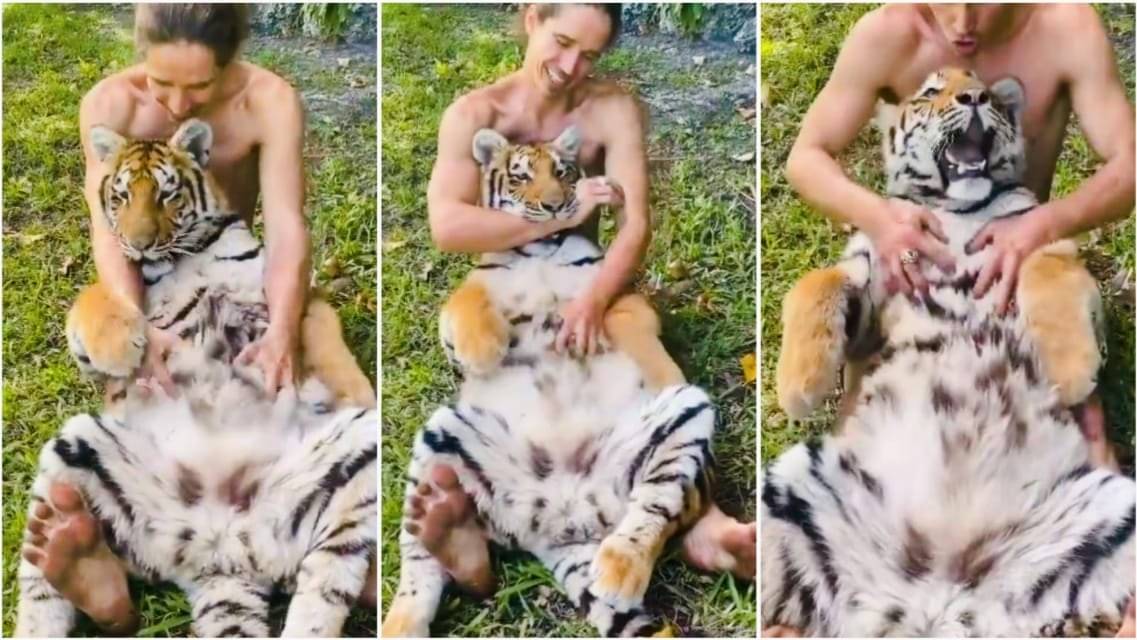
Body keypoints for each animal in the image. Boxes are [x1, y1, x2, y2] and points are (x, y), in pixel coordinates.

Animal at [16, 119, 377, 637]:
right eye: (121, 196)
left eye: (166, 194)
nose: (139, 244)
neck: (182, 256)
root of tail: (222, 552)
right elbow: (95, 294)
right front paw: (119, 344)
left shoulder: (284, 304)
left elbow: (316, 332)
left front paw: (352, 387)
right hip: (73, 451)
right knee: (40, 589)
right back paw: (75, 561)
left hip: (358, 455)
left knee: (324, 590)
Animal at [382, 126, 715, 637]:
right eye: (520, 176)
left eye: (563, 172)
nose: (557, 205)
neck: (539, 250)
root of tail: (562, 519)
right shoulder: (469, 297)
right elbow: (464, 302)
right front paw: (483, 349)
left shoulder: (625, 297)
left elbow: (619, 312)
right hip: (443, 435)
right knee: (422, 565)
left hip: (685, 410)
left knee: (653, 511)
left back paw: (618, 571)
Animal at [763, 67, 1135, 637]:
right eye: (931, 92)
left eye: (989, 92)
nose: (975, 97)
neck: (957, 207)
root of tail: (938, 599)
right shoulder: (876, 276)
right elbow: (816, 281)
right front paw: (799, 386)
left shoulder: (1045, 248)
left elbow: (1044, 267)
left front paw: (1073, 372)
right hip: (788, 495)